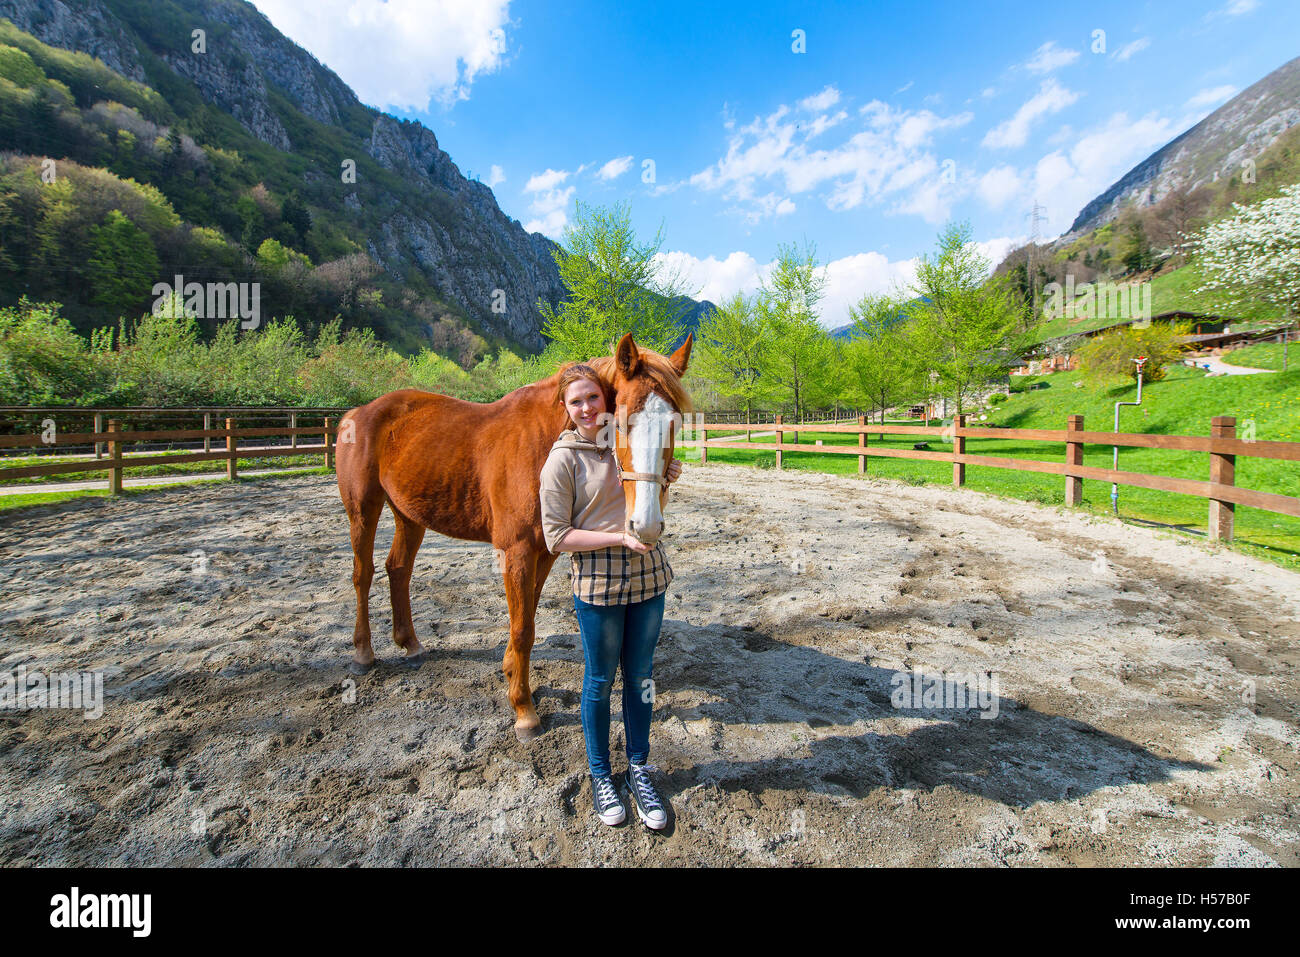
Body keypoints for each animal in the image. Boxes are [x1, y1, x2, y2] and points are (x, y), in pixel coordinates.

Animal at [335, 332, 694, 741]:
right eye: (616, 421)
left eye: (675, 423)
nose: (645, 525)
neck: (542, 446)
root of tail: (357, 413)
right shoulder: (517, 551)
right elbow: (523, 628)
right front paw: (524, 711)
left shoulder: (545, 551)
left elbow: (527, 617)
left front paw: (513, 678)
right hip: (363, 510)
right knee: (363, 575)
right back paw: (363, 654)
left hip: (409, 516)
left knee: (398, 570)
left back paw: (410, 645)